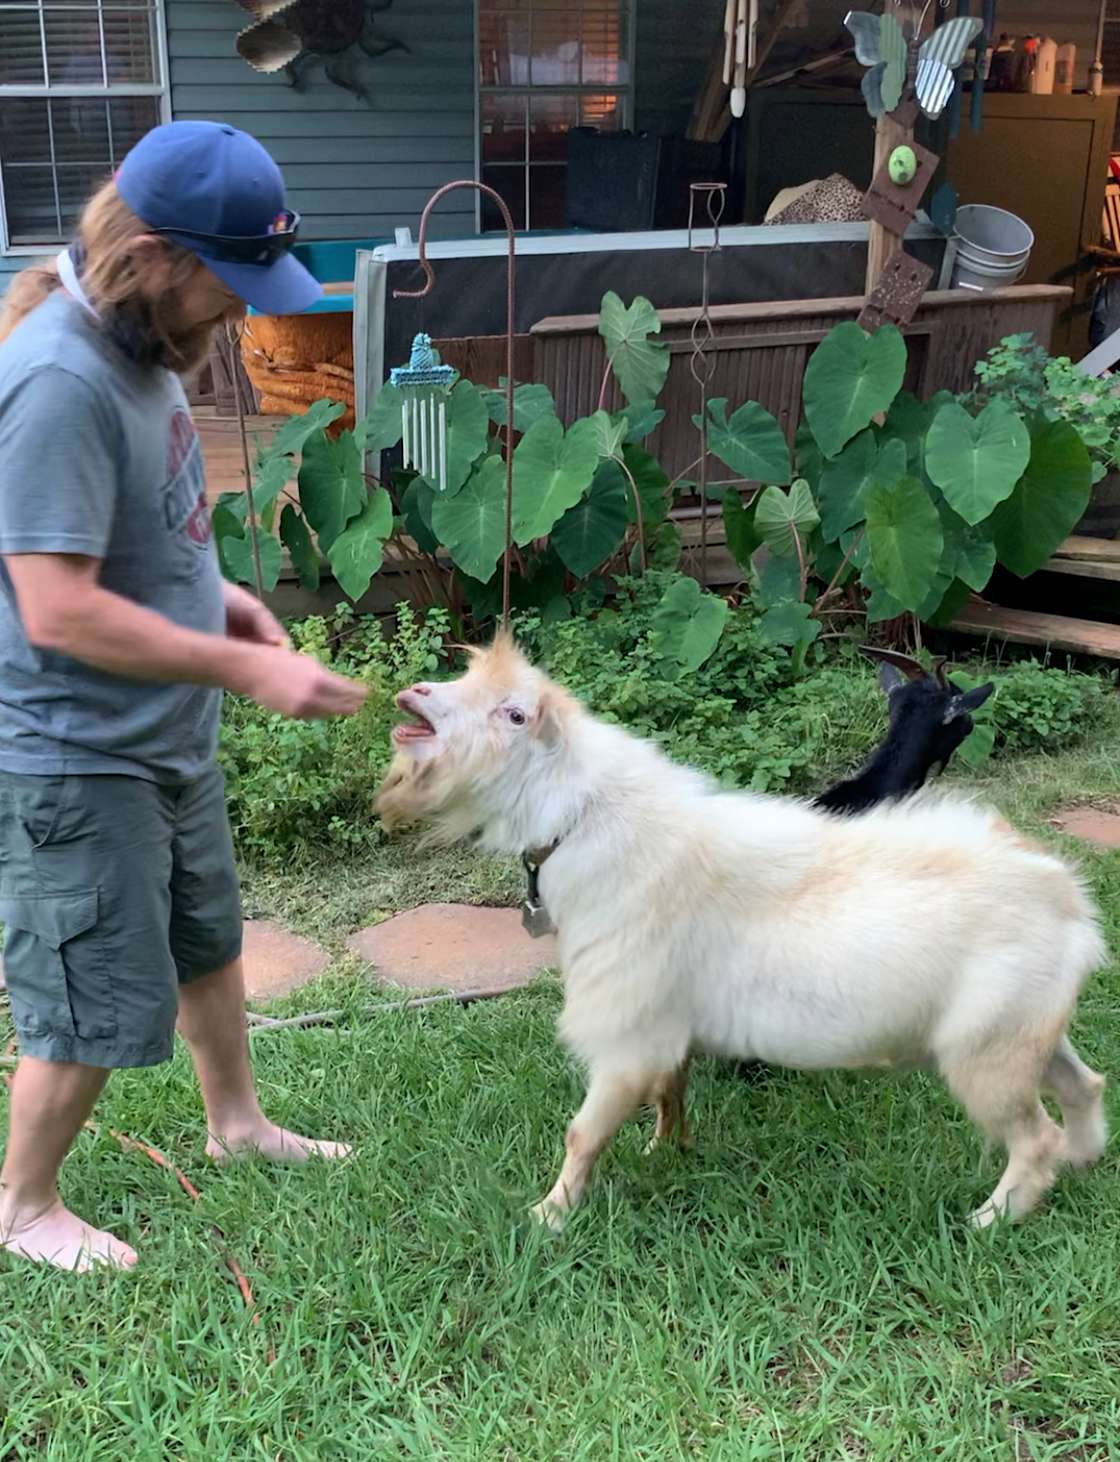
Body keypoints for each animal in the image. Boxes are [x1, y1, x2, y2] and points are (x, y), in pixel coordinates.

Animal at [378, 636, 1107, 1234]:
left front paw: (548, 1216)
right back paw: (1084, 1158)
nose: (415, 695)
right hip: (1024, 1030)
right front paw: (665, 1151)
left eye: (516, 714)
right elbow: (670, 1092)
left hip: (985, 1053)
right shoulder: (667, 1023)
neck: (597, 825)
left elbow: (582, 1133)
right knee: (1085, 1084)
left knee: (1032, 1138)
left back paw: (990, 1218)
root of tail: (1071, 903)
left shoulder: (624, 1028)